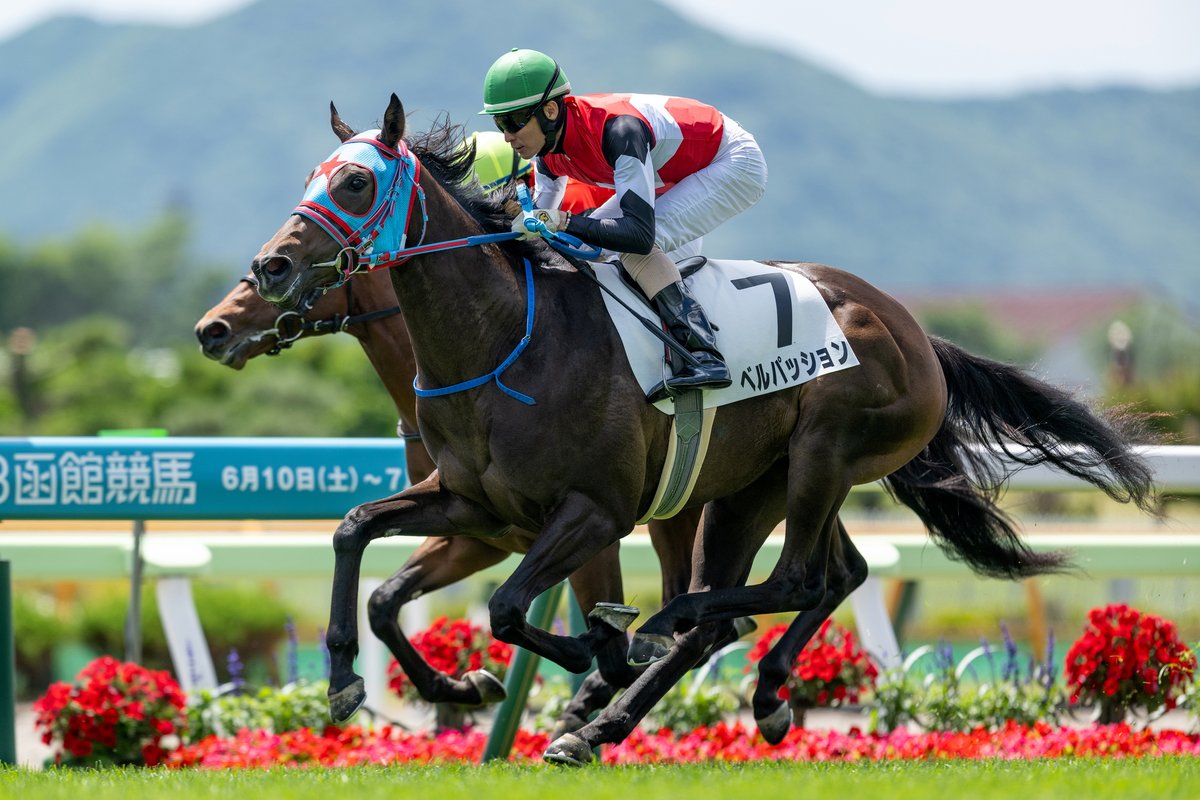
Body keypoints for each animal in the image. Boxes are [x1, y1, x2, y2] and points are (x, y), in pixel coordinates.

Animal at [194, 262, 705, 731]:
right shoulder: (472, 538)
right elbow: (383, 601)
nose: (212, 329)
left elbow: (611, 650)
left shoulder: (585, 525)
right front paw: (466, 684)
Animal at [248, 95, 1158, 764]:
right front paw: (379, 681)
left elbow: (508, 608)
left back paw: (647, 653)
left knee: (780, 586)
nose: (271, 266)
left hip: (820, 454)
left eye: (356, 184)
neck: (503, 340)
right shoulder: (474, 505)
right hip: (757, 484)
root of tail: (910, 328)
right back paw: (704, 701)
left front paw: (585, 657)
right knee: (829, 575)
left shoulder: (595, 511)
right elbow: (359, 542)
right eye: (314, 176)